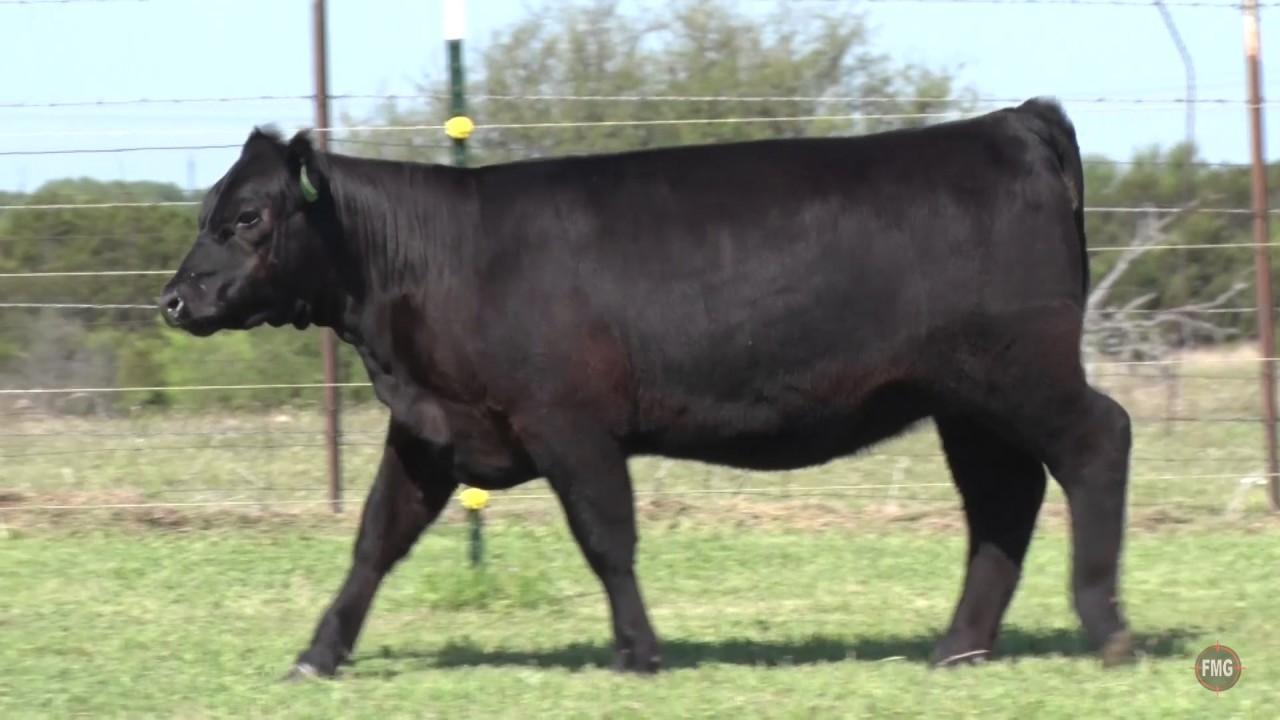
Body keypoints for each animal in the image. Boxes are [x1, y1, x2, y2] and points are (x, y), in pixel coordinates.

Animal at [156, 96, 1135, 680]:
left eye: (250, 216)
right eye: (206, 211)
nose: (174, 298)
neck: (434, 259)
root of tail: (1008, 122)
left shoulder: (570, 423)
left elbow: (607, 538)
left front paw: (638, 650)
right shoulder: (433, 431)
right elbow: (374, 541)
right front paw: (318, 653)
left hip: (1024, 372)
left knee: (1099, 440)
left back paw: (1106, 627)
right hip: (967, 404)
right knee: (1003, 501)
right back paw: (959, 647)